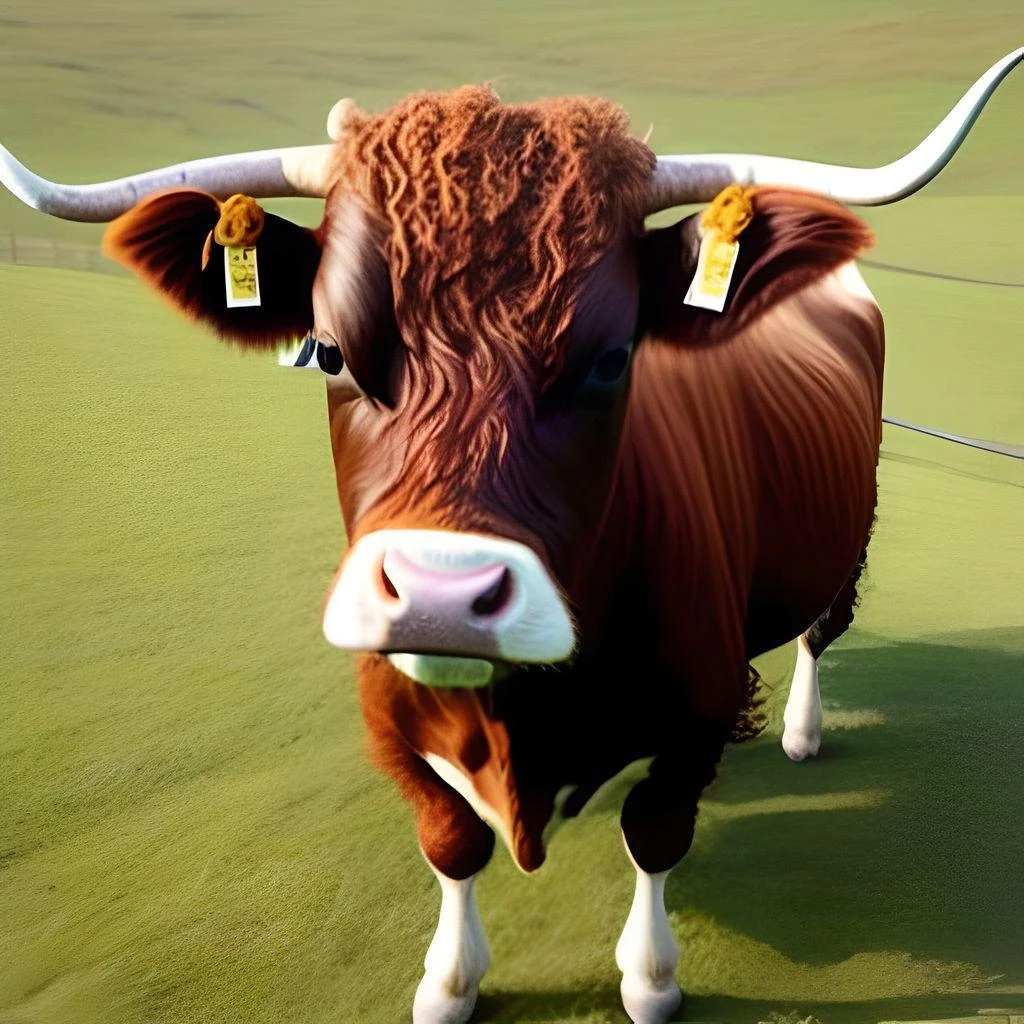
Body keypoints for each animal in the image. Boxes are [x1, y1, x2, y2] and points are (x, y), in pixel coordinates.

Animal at [2, 47, 1020, 1024]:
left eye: (612, 359)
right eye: (329, 351)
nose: (443, 596)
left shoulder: (699, 700)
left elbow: (656, 831)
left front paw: (650, 979)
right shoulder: (387, 711)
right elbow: (449, 840)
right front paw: (449, 982)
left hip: (848, 529)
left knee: (819, 628)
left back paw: (804, 732)